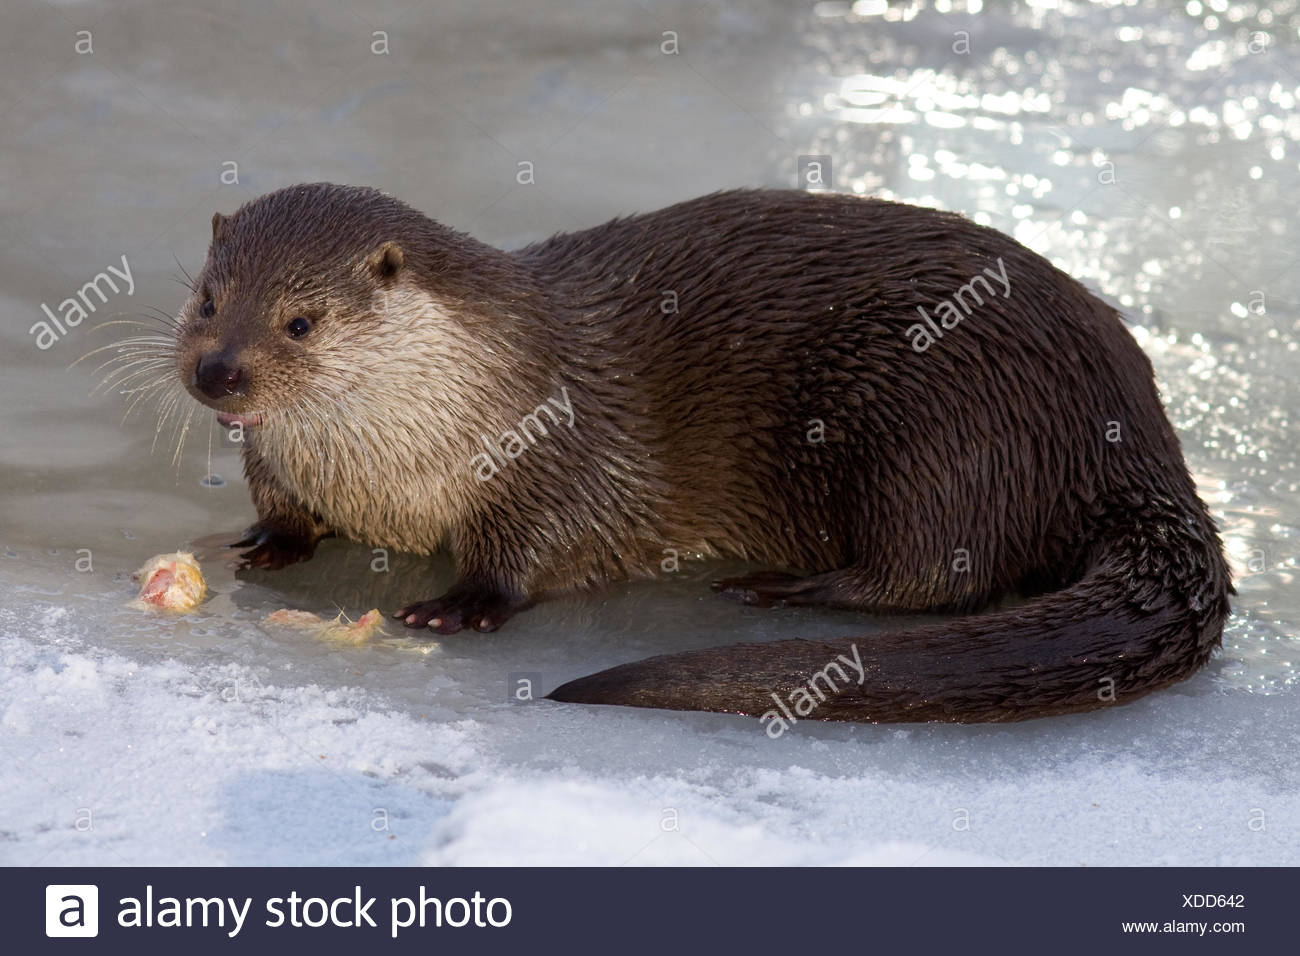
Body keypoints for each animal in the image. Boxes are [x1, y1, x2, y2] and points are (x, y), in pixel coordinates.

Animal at [162, 183, 1230, 723]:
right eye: (208, 298)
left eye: (300, 322)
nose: (217, 373)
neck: (389, 473)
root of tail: (1137, 437)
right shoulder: (284, 464)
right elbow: (285, 510)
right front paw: (265, 543)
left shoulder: (560, 449)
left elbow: (542, 544)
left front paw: (461, 604)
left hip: (947, 433)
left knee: (933, 572)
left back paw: (781, 587)